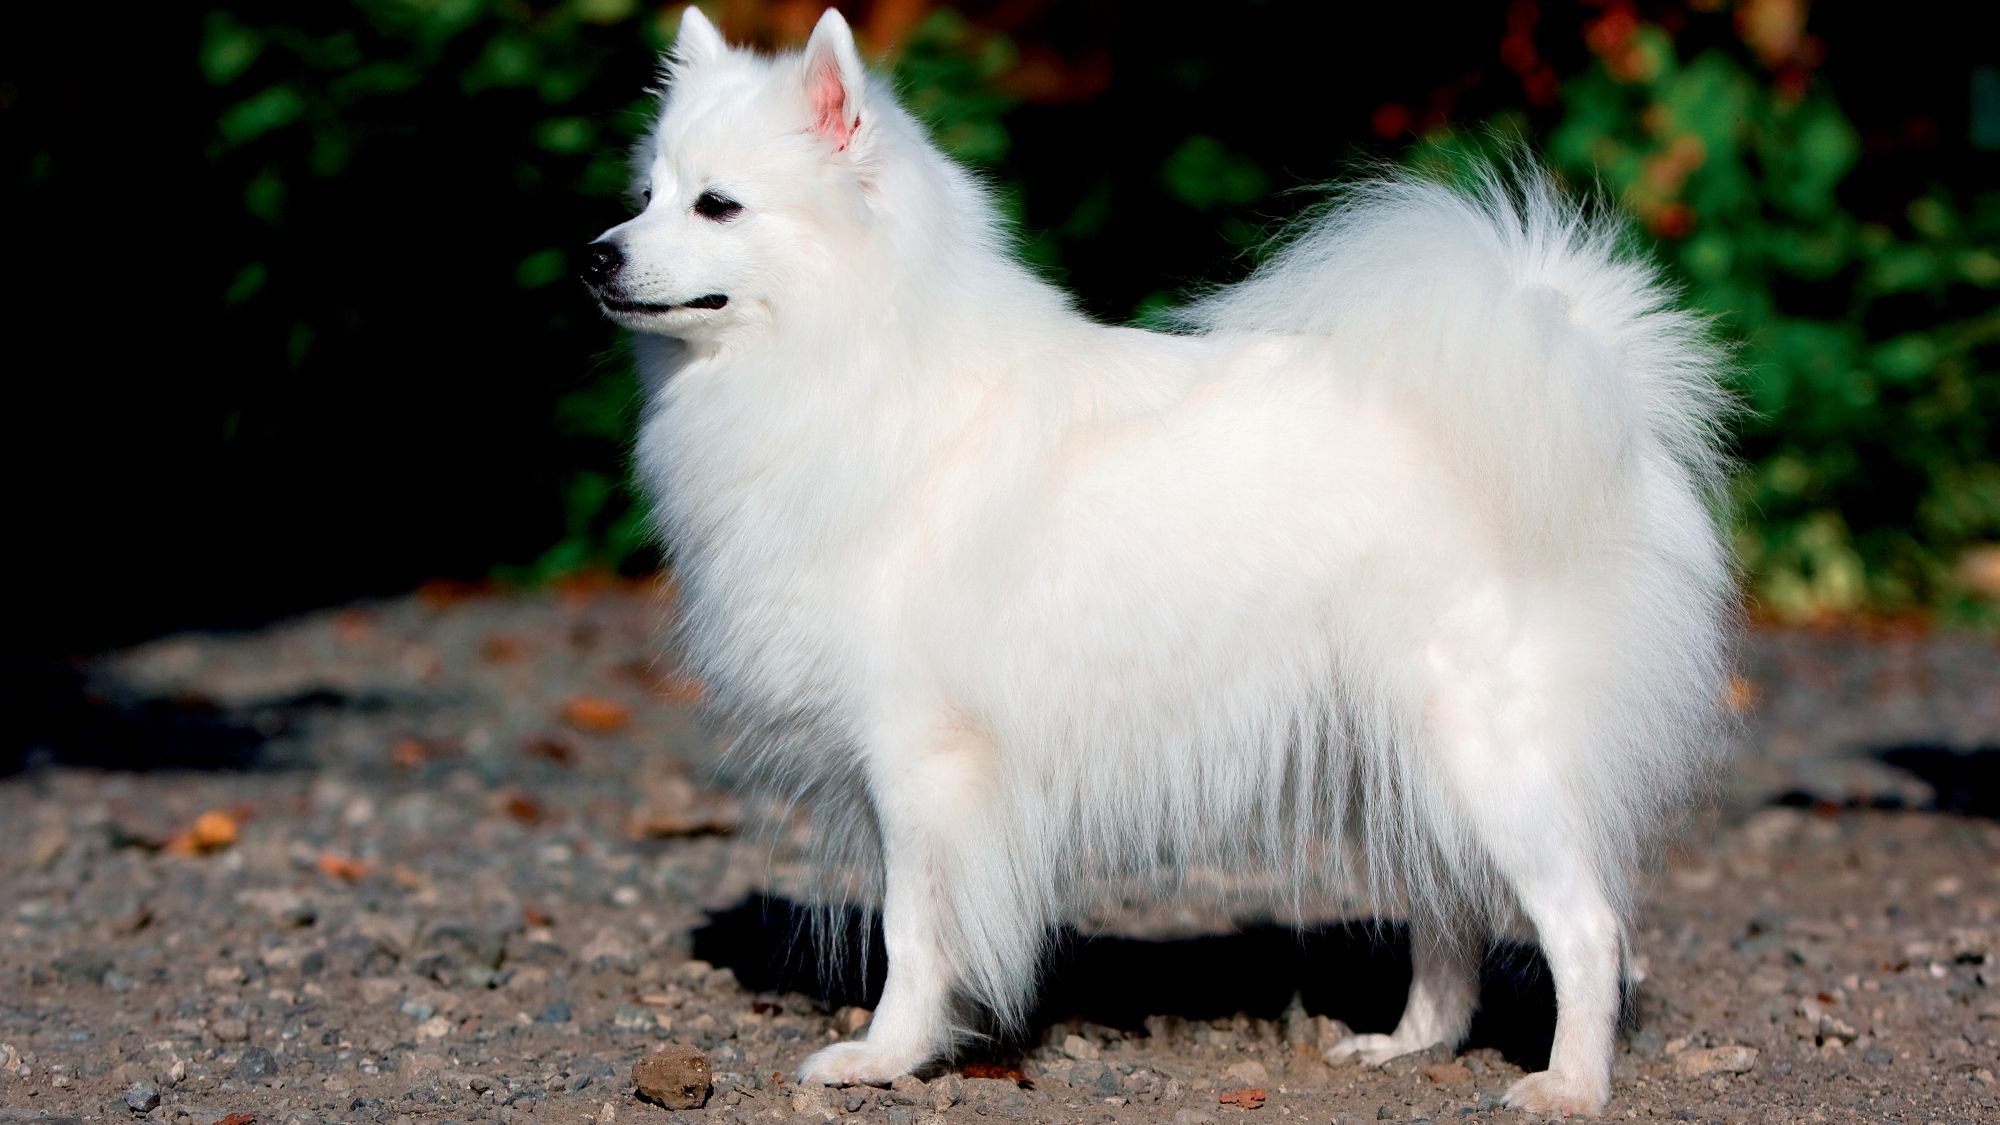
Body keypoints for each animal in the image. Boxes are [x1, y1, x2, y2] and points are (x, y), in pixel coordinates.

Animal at [588, 8, 1736, 1112]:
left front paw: (884, 1057)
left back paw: (1569, 1086)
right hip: (1406, 749)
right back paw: (1409, 1043)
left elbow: (912, 933)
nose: (597, 252)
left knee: (1586, 928)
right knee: (1450, 912)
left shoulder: (922, 757)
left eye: (718, 207)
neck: (858, 361)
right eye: (646, 195)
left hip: (1485, 744)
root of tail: (1592, 380)